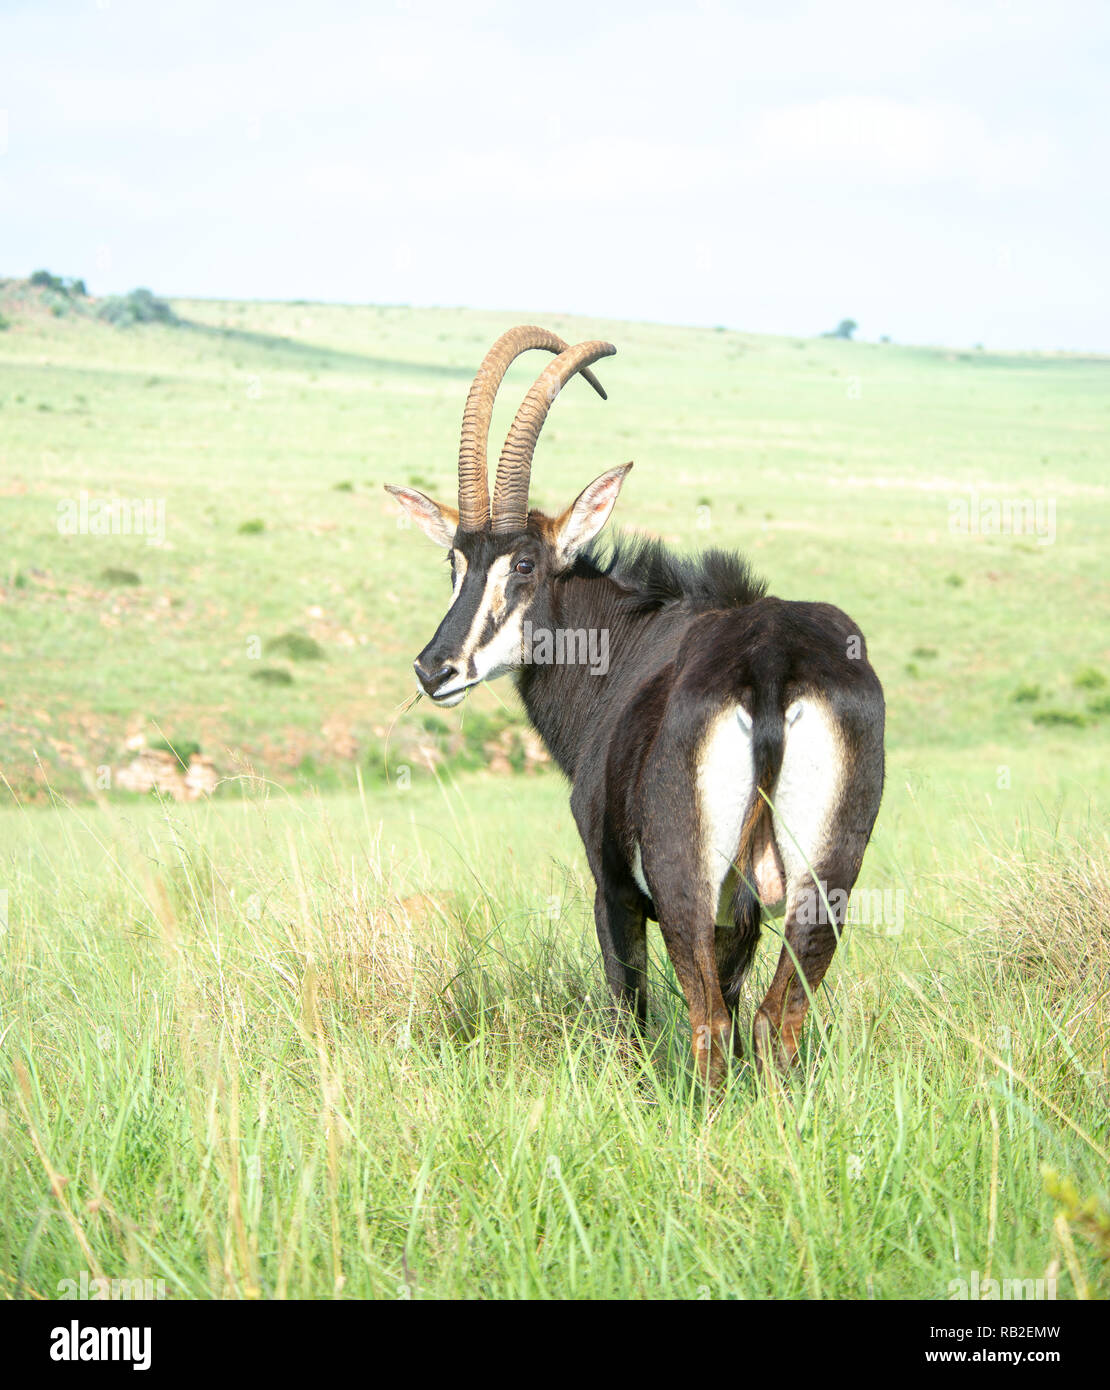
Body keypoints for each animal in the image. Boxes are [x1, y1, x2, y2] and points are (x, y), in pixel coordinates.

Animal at [386, 326, 885, 1083]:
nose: (433, 668)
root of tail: (770, 659)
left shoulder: (613, 890)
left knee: (709, 1023)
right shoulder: (742, 917)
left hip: (685, 886)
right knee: (775, 1021)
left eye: (524, 564)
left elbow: (631, 1016)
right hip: (824, 884)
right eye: (456, 564)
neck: (626, 641)